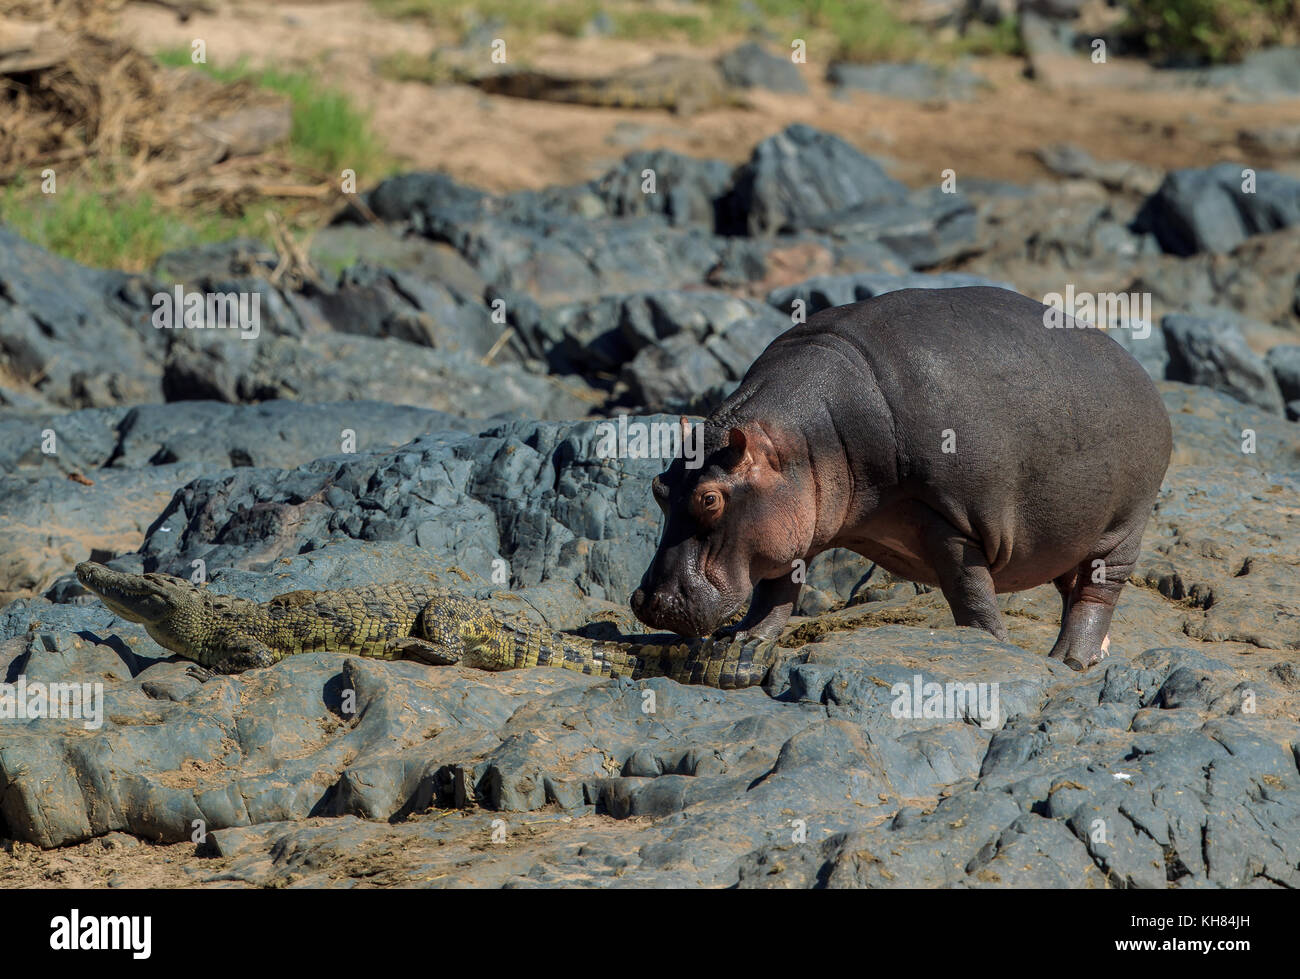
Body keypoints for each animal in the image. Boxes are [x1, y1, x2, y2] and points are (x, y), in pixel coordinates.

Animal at [630, 287, 1172, 671]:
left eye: (710, 499)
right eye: (658, 488)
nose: (650, 602)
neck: (796, 442)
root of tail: (1142, 375)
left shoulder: (949, 520)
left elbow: (970, 591)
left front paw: (988, 644)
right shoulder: (796, 523)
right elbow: (776, 590)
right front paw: (745, 639)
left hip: (1122, 529)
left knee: (1098, 592)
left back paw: (1071, 661)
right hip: (1069, 532)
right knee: (1072, 587)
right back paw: (1090, 656)